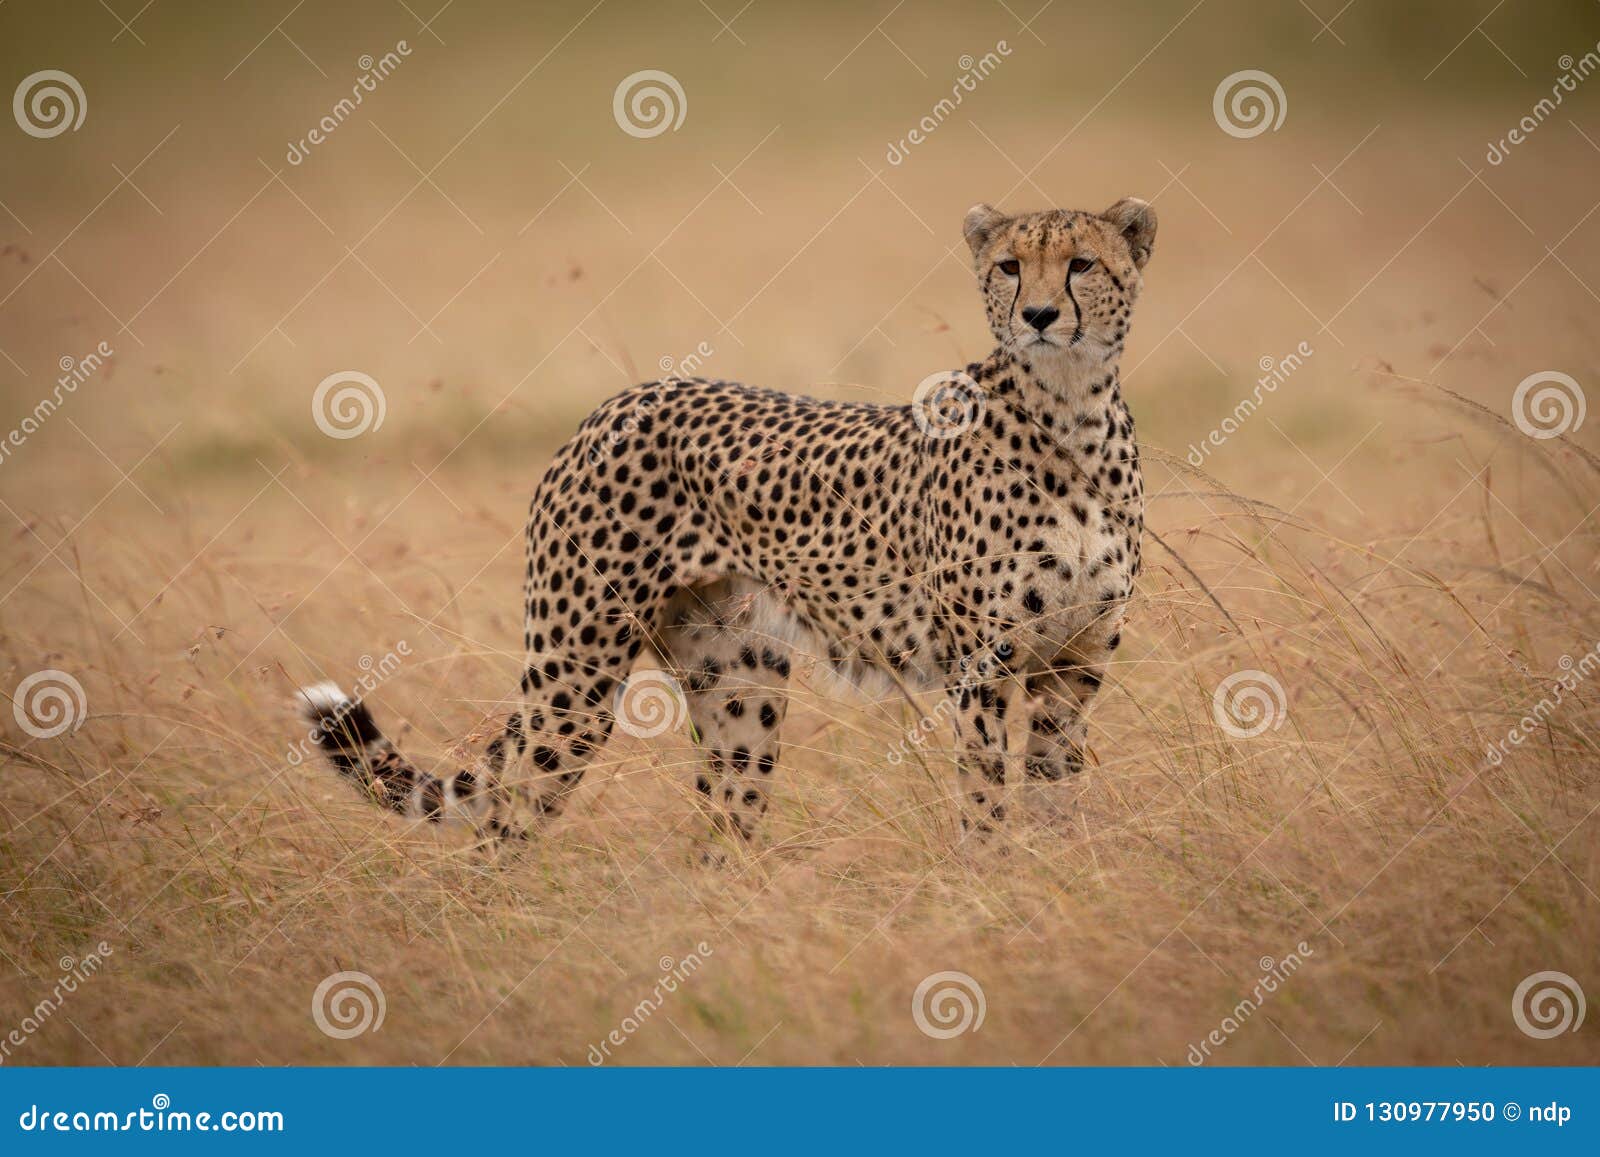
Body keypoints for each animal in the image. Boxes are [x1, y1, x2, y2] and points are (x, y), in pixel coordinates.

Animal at [295, 196, 1156, 848]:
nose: (1039, 314)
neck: (1070, 413)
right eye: (1010, 266)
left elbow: (1053, 792)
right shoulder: (981, 661)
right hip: (578, 670)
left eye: (1081, 264)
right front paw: (991, 878)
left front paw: (1052, 873)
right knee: (507, 819)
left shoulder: (1078, 662)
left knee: (719, 827)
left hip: (738, 683)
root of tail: (619, 400)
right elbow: (985, 796)